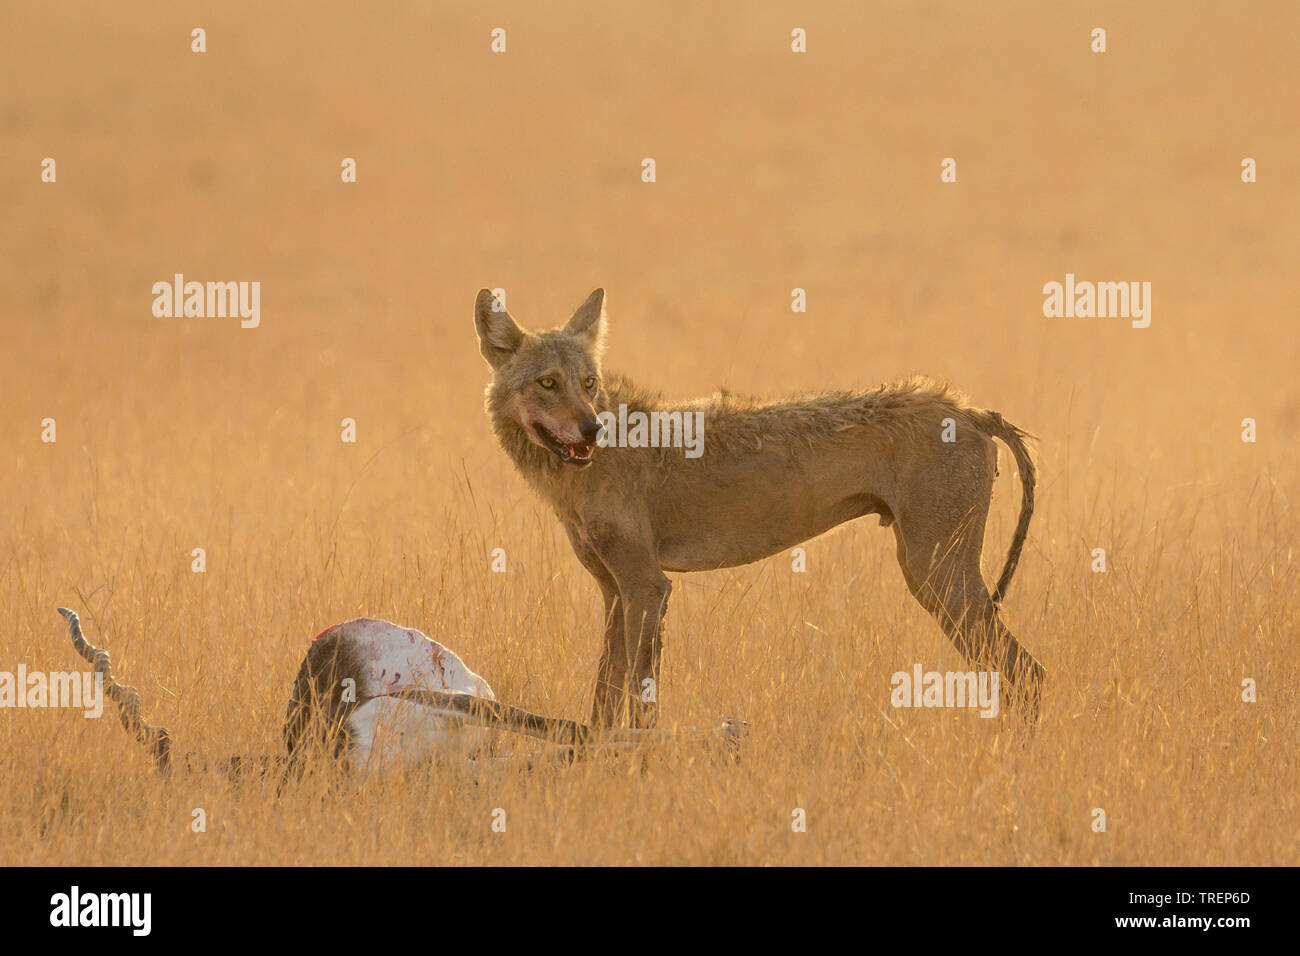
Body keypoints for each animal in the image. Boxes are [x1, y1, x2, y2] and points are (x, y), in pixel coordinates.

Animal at [474, 288, 1046, 728]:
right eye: (548, 382)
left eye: (588, 383)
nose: (591, 428)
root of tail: (971, 409)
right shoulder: (614, 592)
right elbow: (604, 700)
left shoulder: (648, 587)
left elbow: (637, 702)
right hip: (929, 576)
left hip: (938, 578)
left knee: (1029, 675)